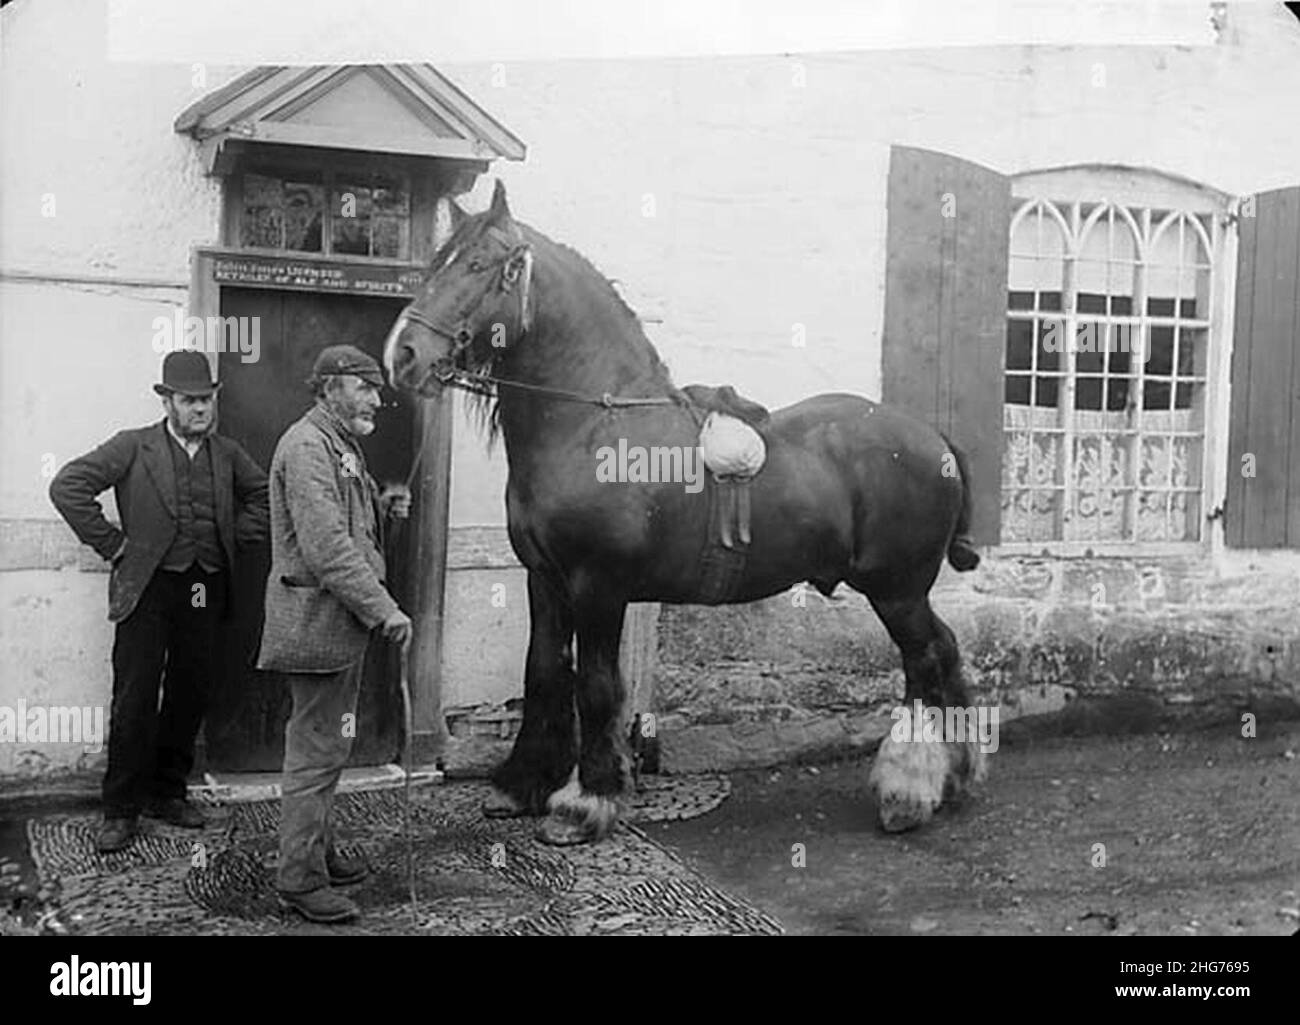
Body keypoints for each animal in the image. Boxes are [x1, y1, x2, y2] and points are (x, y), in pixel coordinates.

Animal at [383, 180, 987, 846]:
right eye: (438, 264)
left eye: (478, 266)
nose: (403, 354)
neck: (594, 424)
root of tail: (934, 438)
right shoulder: (544, 579)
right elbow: (543, 672)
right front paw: (523, 785)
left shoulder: (599, 586)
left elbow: (596, 687)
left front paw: (585, 801)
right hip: (905, 592)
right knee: (945, 650)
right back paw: (955, 774)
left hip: (896, 590)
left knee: (924, 661)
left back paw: (909, 791)